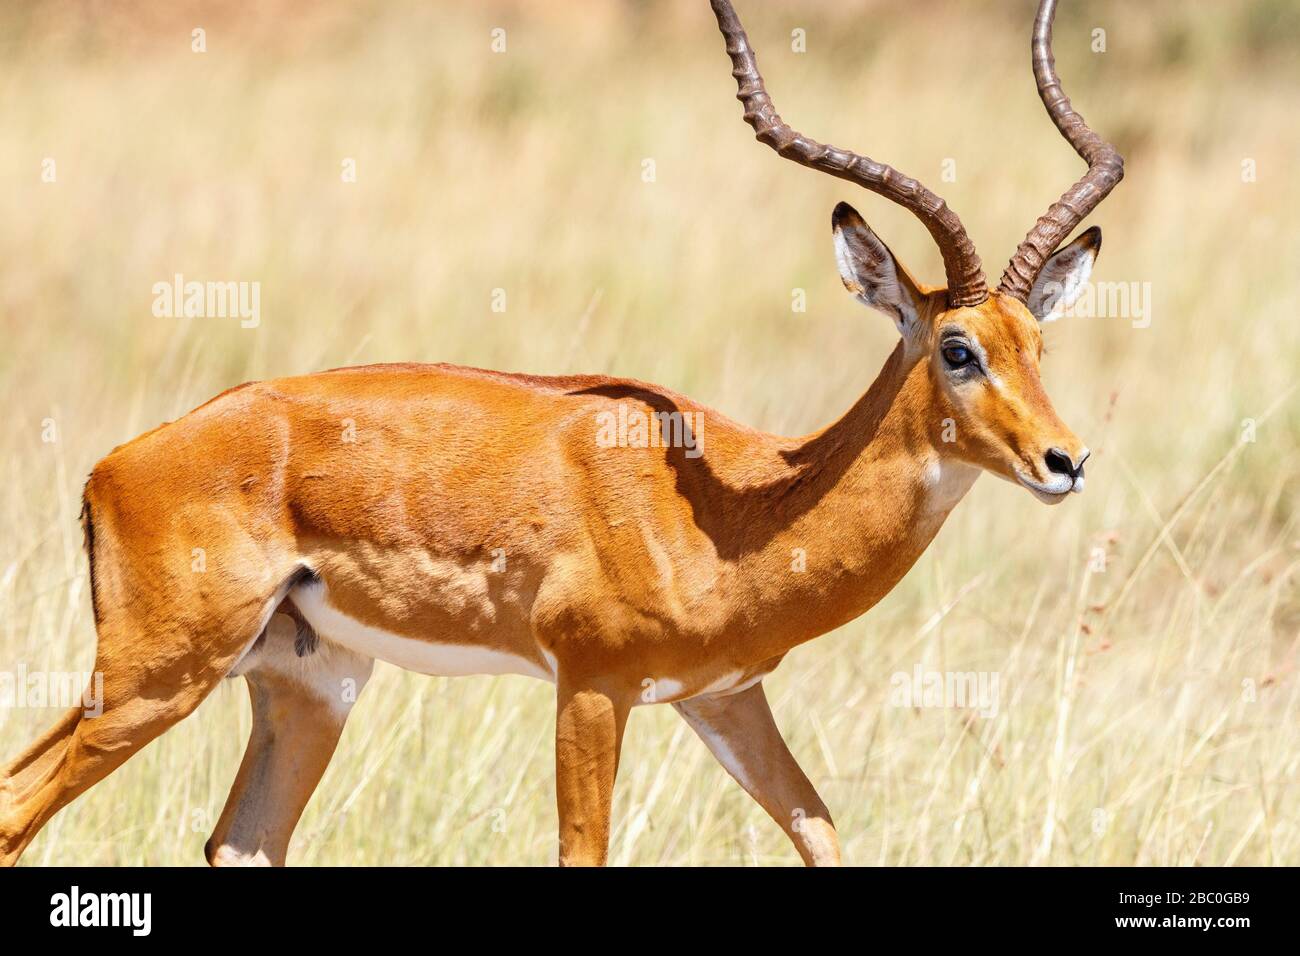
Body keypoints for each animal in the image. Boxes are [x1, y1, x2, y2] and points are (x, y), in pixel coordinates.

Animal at [0, 0, 1122, 867]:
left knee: (240, 840)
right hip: (154, 676)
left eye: (1038, 343)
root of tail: (112, 465)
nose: (1066, 462)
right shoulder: (590, 688)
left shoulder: (726, 697)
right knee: (18, 807)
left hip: (307, 683)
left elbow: (821, 830)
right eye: (957, 348)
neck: (737, 507)